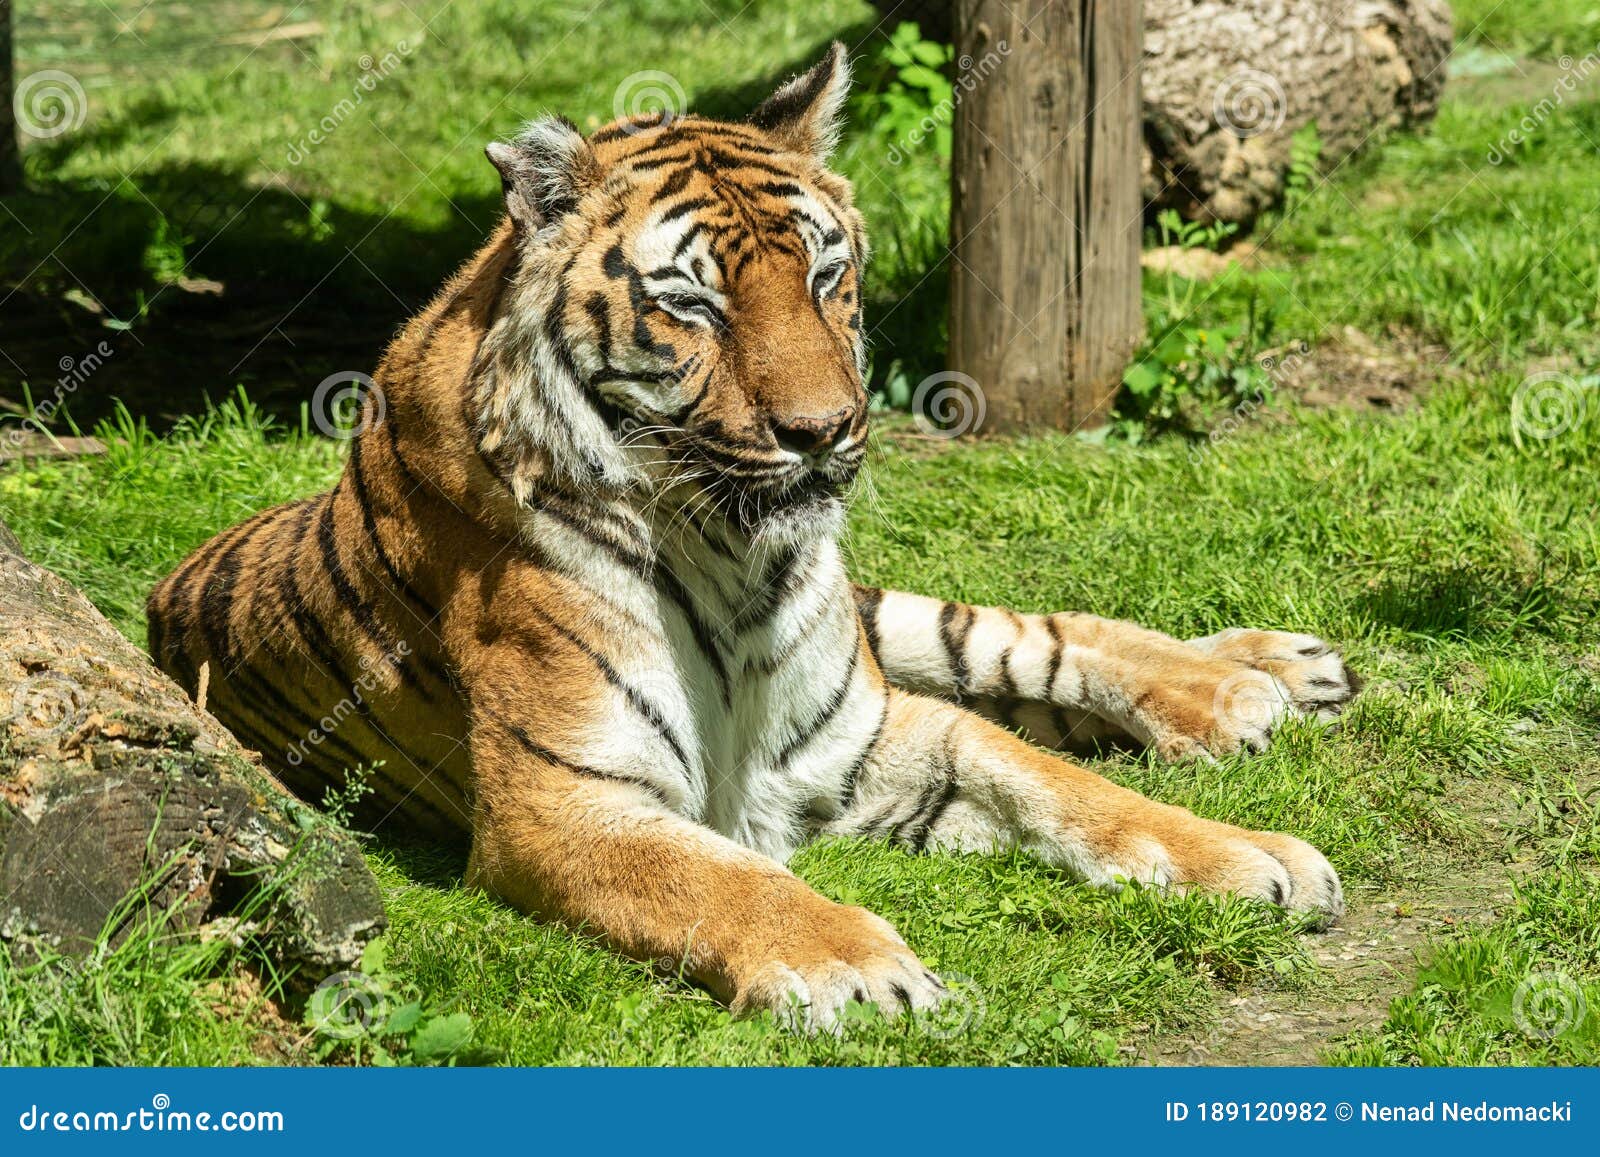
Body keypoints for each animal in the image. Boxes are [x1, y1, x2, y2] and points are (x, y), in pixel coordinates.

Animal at [147, 44, 1360, 1032]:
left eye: (827, 276)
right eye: (694, 305)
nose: (823, 432)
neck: (727, 556)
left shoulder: (873, 728)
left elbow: (1064, 786)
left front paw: (1253, 856)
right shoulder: (566, 800)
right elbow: (733, 880)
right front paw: (858, 970)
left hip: (888, 623)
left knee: (1025, 636)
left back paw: (1254, 676)